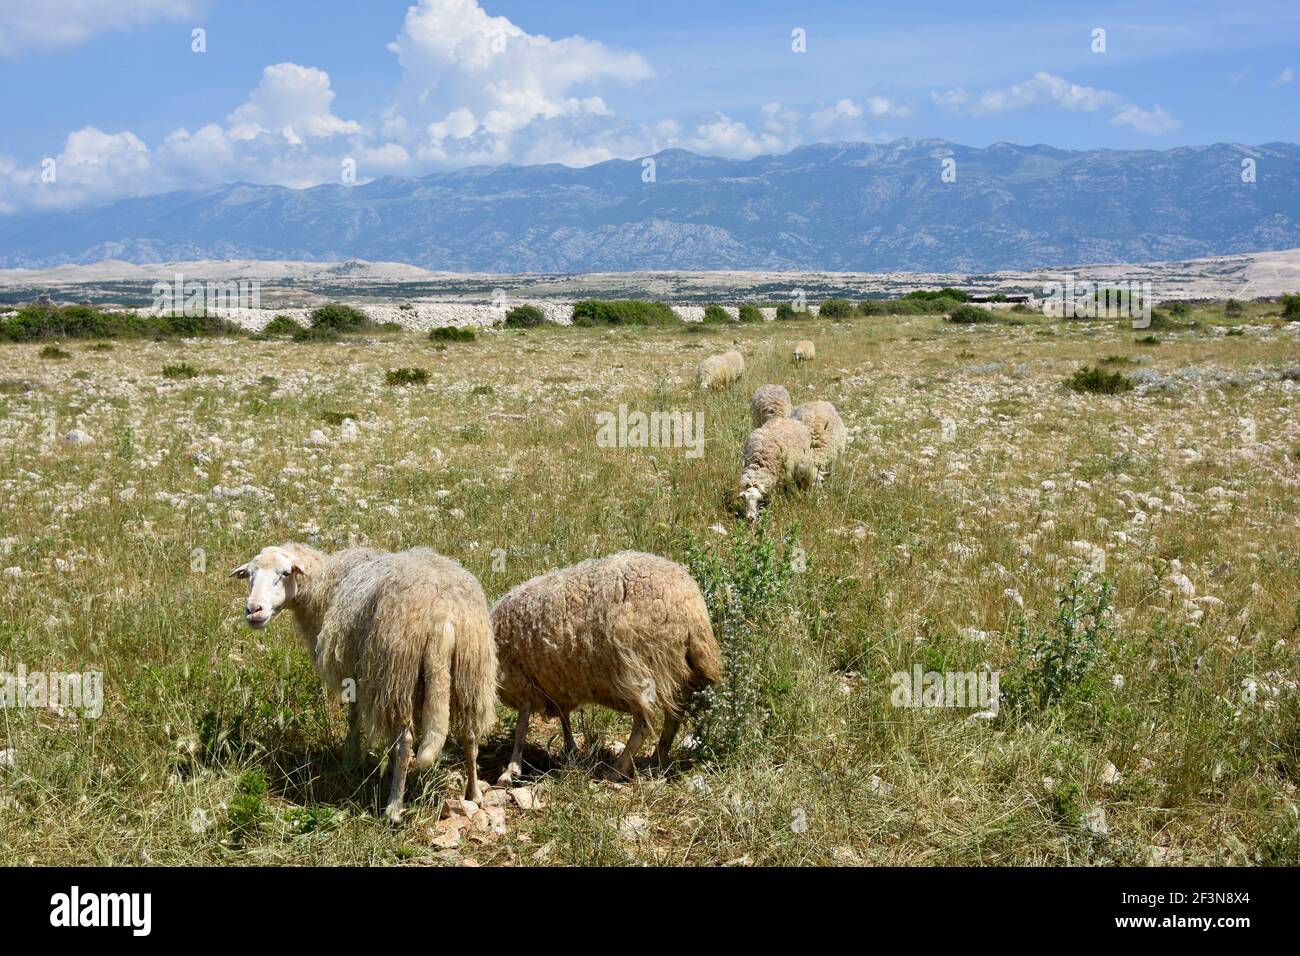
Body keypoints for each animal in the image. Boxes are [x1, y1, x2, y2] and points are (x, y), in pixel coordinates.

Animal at [231, 543, 497, 822]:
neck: (323, 585)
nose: (253, 610)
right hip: (471, 674)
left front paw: (350, 760)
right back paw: (474, 794)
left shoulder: (355, 674)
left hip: (398, 673)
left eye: (285, 573)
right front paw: (385, 768)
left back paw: (394, 808)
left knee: (406, 742)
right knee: (470, 734)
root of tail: (442, 615)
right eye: (249, 575)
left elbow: (354, 718)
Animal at [491, 551, 722, 784]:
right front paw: (570, 750)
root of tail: (690, 607)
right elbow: (564, 719)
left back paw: (618, 770)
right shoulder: (558, 683)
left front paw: (511, 770)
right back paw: (657, 759)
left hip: (637, 667)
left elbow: (521, 728)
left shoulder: (523, 681)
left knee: (644, 723)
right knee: (674, 716)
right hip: (676, 668)